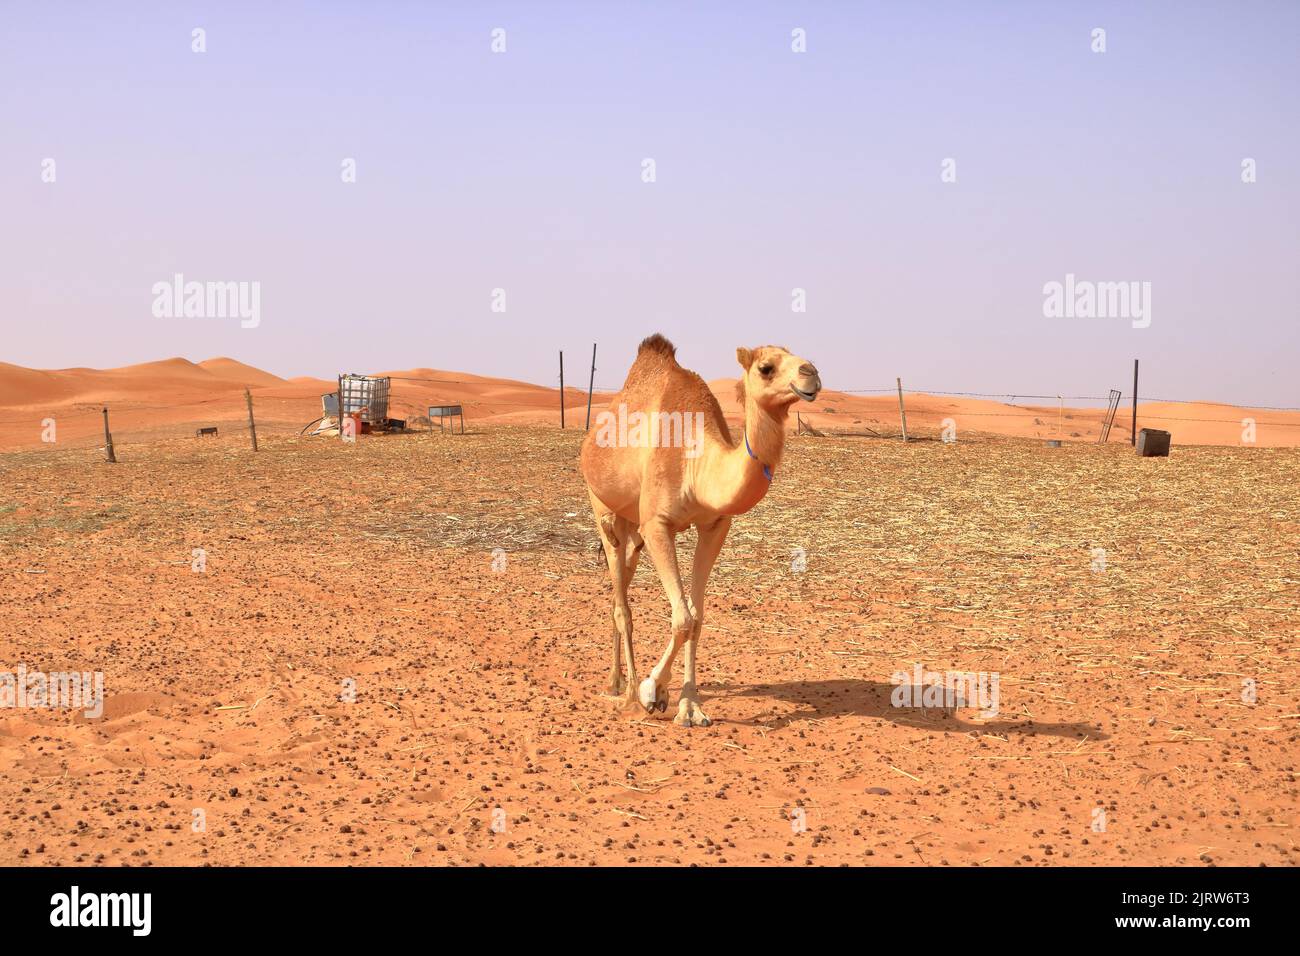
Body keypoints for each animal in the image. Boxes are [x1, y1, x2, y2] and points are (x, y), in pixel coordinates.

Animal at [579, 334, 821, 727]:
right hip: (603, 507)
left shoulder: (716, 526)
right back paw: (627, 693)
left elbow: (698, 617)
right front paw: (650, 691)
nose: (811, 373)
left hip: (634, 530)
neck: (697, 463)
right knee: (621, 605)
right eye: (765, 367)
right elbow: (682, 618)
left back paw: (615, 681)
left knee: (621, 586)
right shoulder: (657, 523)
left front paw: (689, 706)